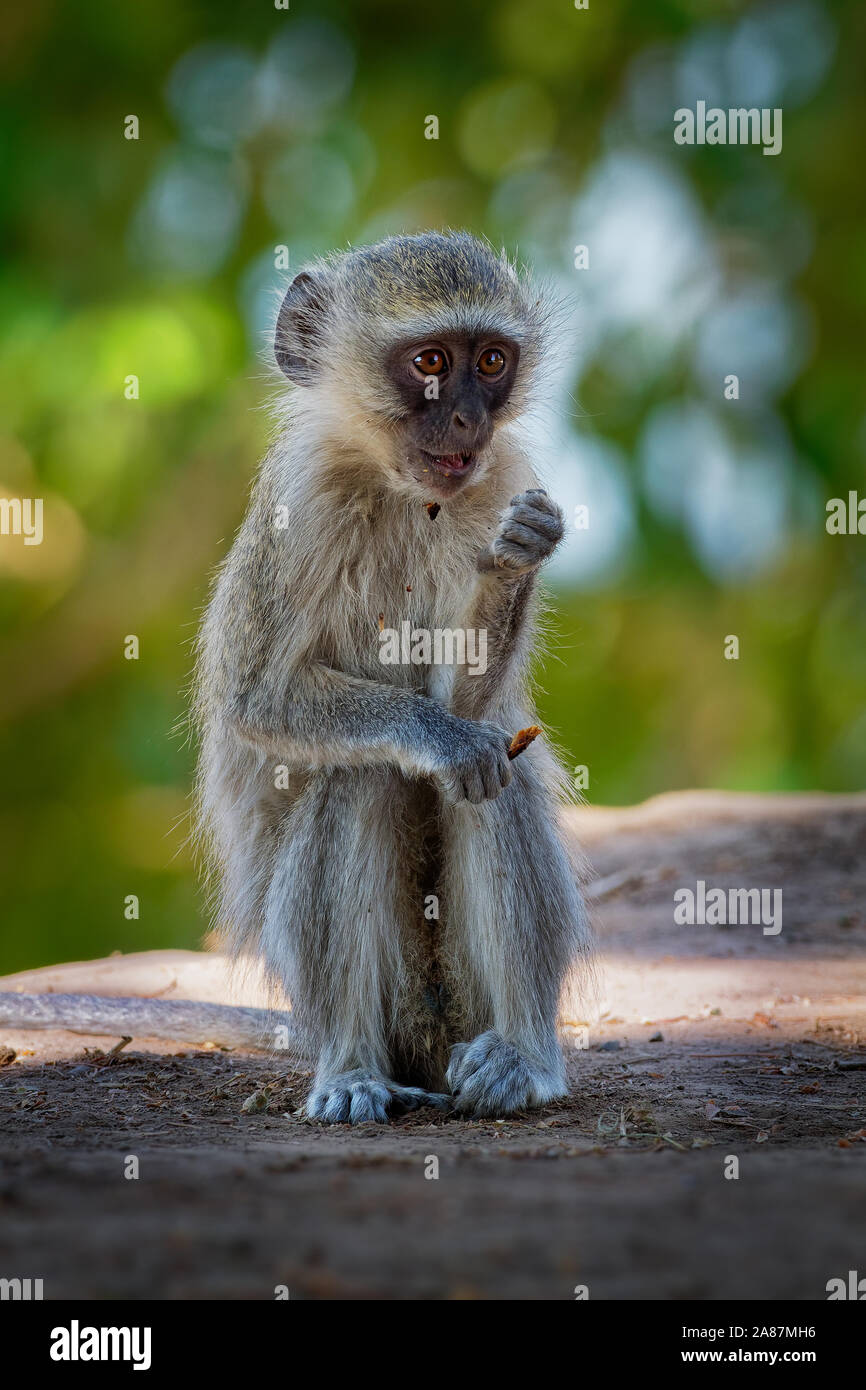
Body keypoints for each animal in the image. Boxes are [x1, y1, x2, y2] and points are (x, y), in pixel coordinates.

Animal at [0, 233, 590, 1121]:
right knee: (364, 775)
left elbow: (480, 709)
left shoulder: (501, 474)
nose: (469, 420)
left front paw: (519, 554)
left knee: (501, 770)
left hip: (457, 1003)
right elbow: (262, 700)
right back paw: (349, 1068)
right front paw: (437, 736)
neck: (398, 492)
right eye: (429, 361)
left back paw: (521, 1058)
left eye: (491, 361)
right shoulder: (298, 506)